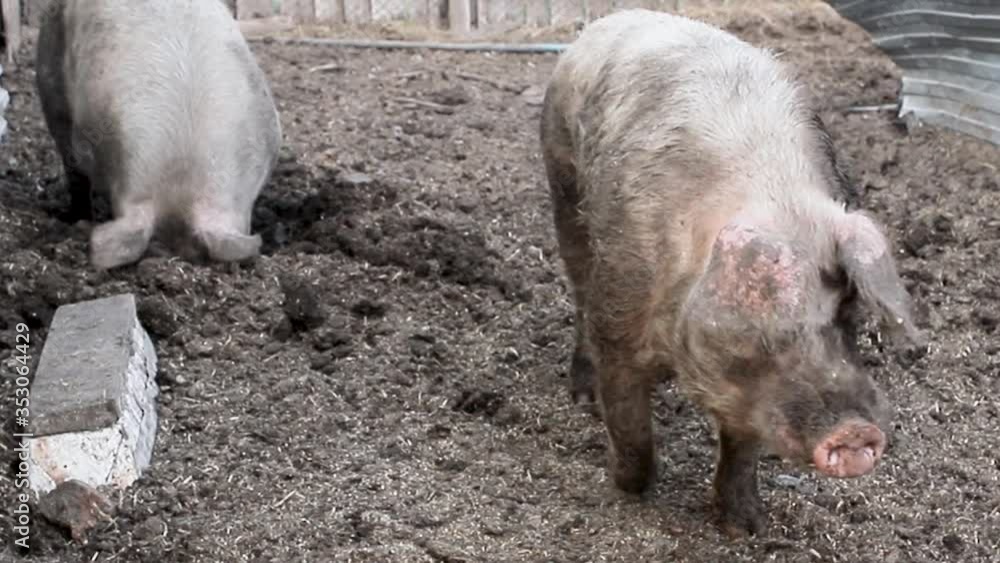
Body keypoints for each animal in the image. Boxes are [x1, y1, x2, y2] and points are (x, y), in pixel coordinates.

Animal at [539, 10, 923, 536]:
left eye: (846, 314)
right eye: (765, 336)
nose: (855, 433)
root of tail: (613, 19)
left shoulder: (755, 397)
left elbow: (741, 448)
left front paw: (748, 528)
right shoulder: (619, 315)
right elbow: (630, 424)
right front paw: (625, 488)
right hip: (562, 176)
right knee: (577, 285)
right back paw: (580, 394)